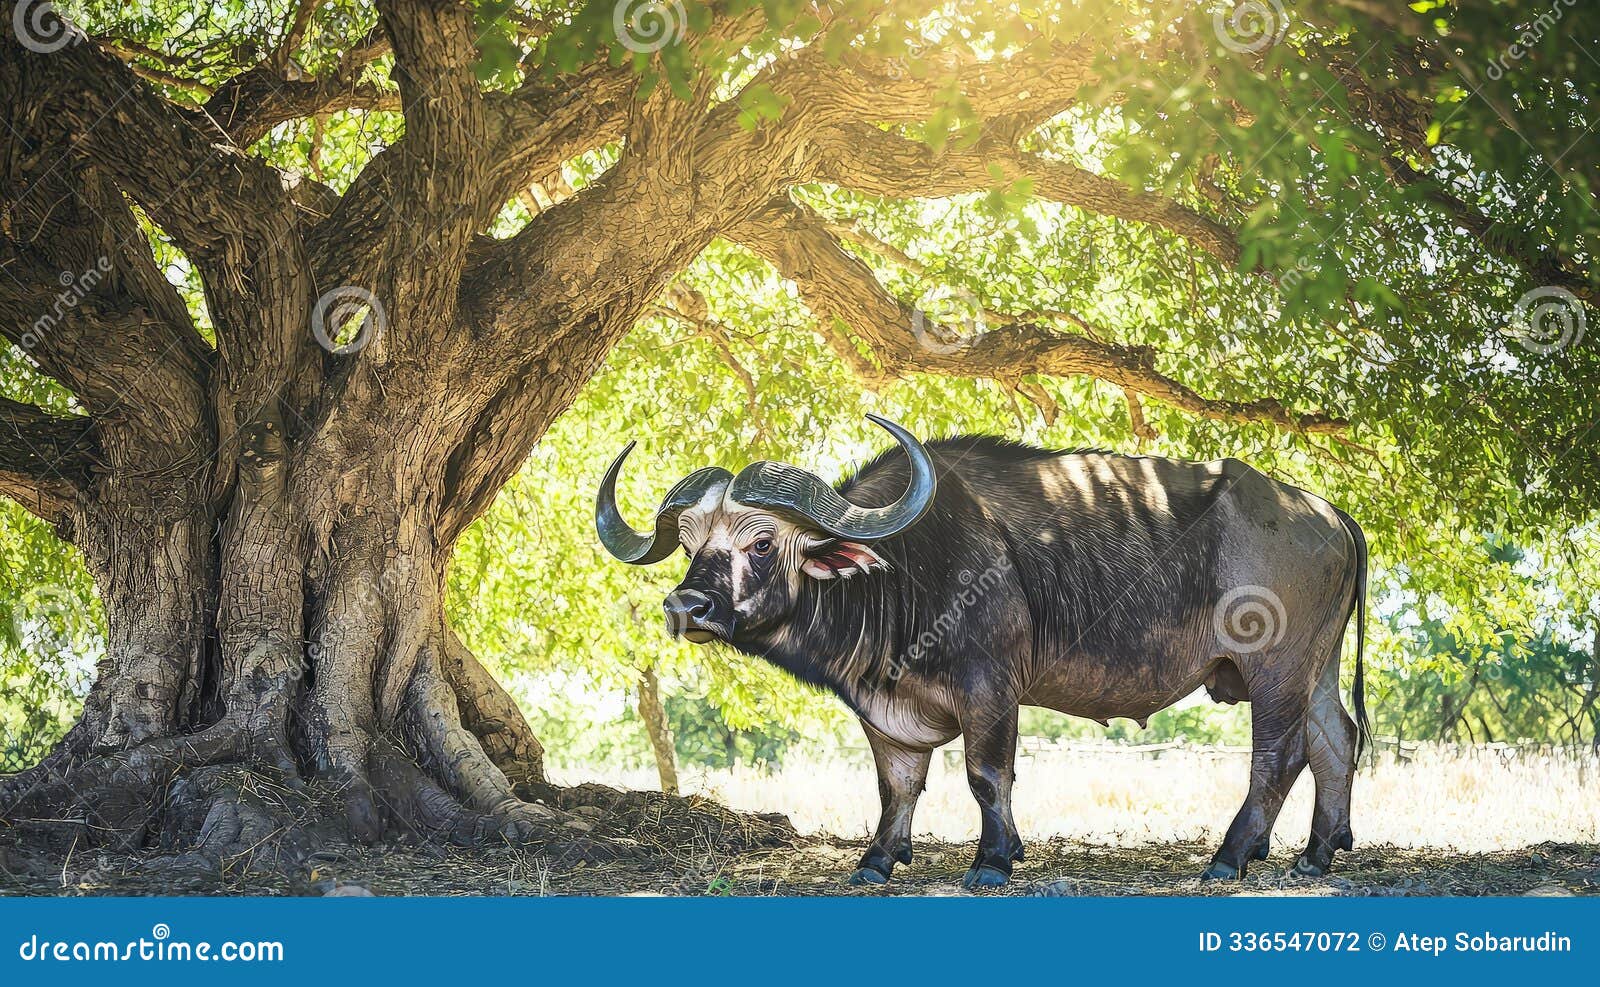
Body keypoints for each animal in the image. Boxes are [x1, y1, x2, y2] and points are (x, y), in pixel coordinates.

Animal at [597, 415, 1368, 887]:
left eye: (761, 543)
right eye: (691, 545)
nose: (685, 607)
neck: (903, 568)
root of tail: (1322, 510)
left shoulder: (990, 687)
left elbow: (986, 774)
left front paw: (994, 861)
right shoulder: (885, 712)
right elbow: (897, 784)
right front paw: (878, 859)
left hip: (1275, 668)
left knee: (1279, 756)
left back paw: (1230, 857)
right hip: (1318, 666)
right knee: (1336, 739)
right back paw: (1316, 854)